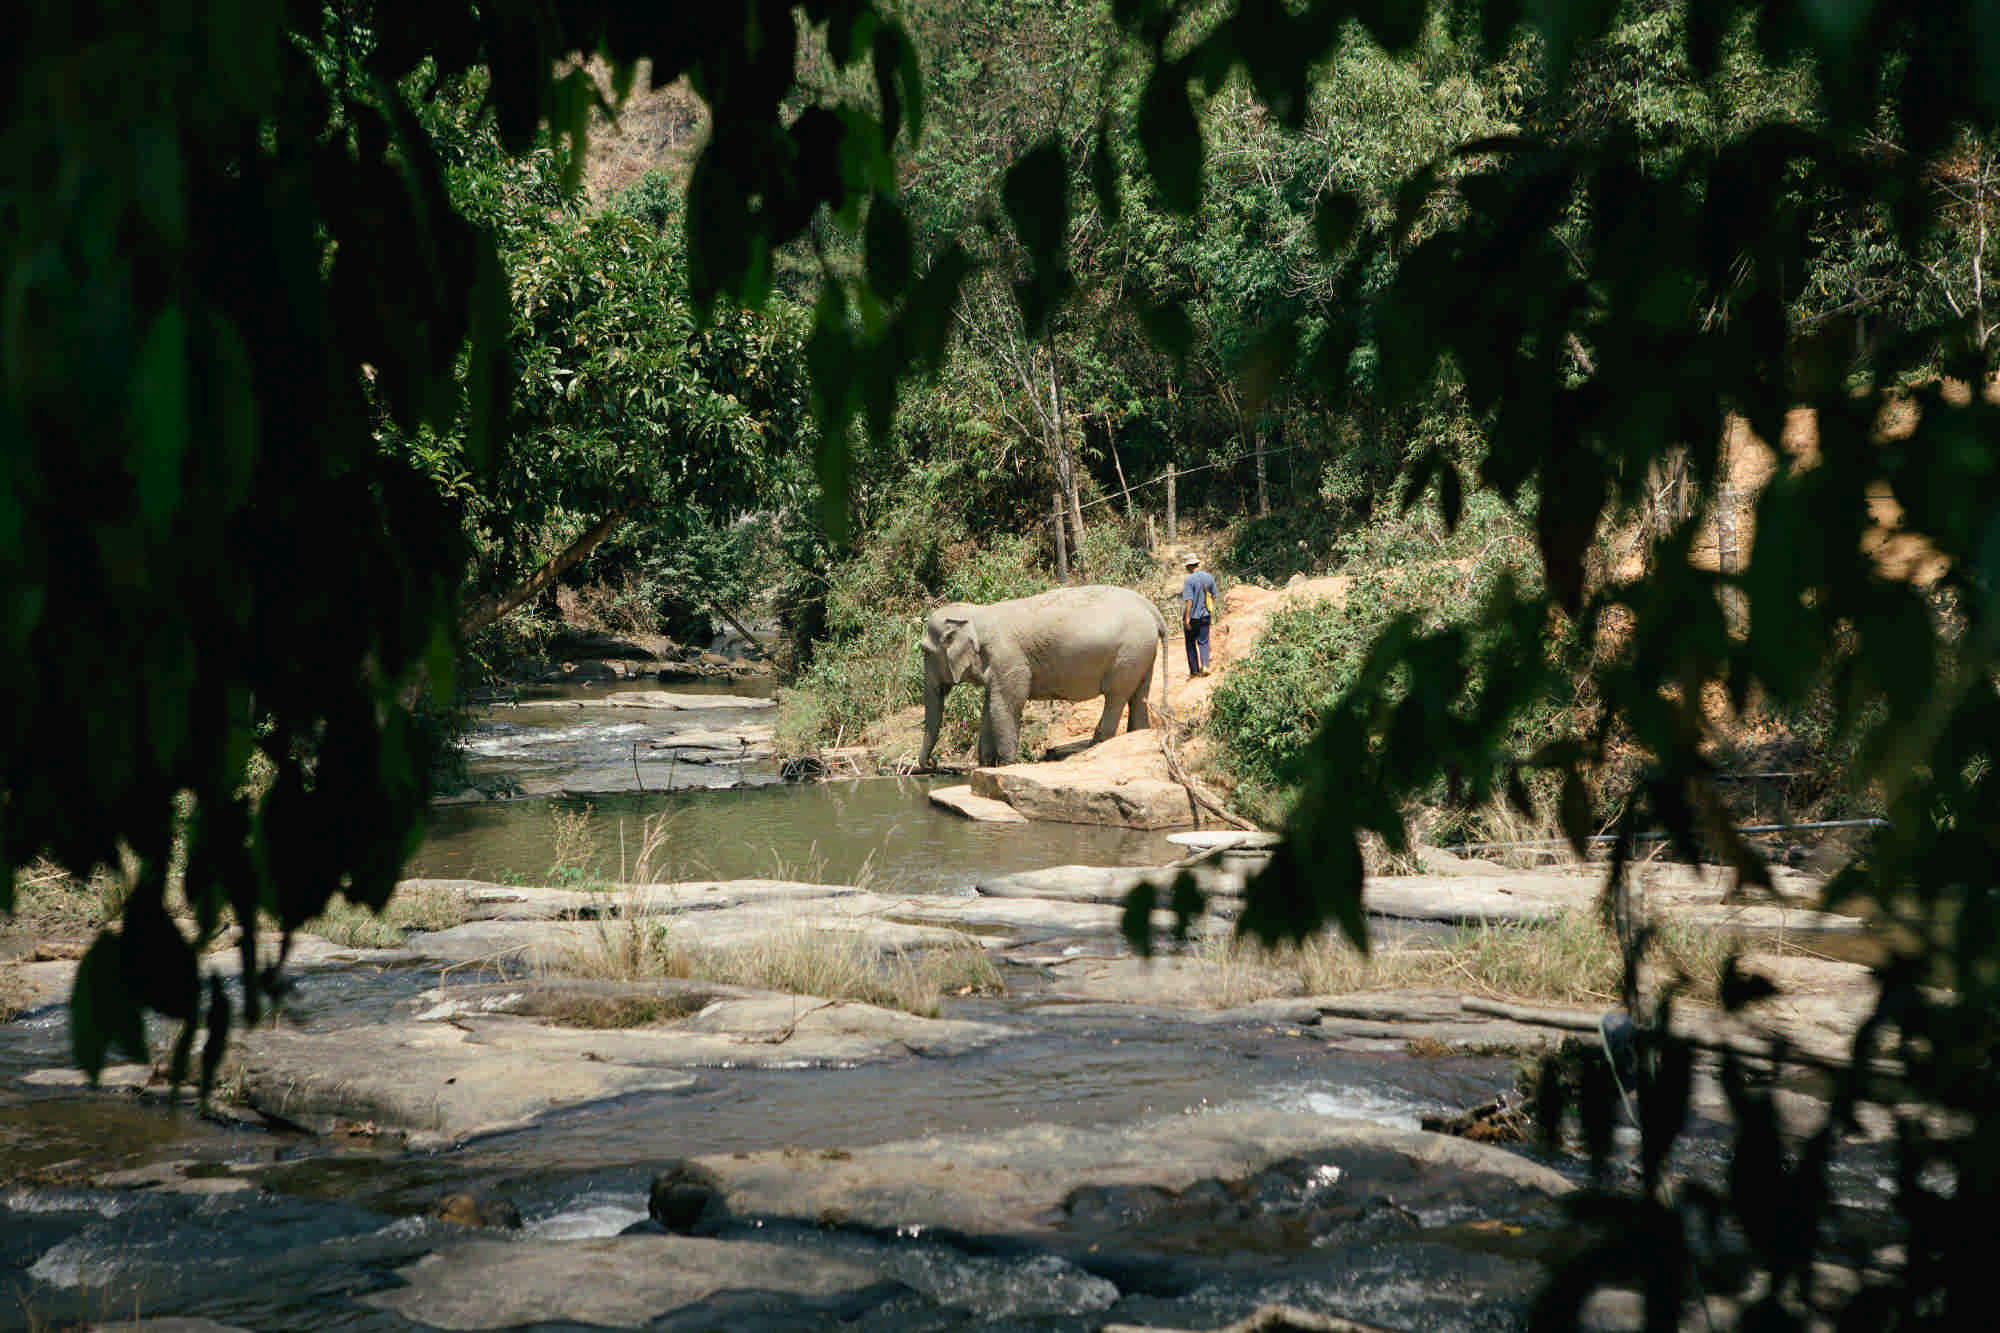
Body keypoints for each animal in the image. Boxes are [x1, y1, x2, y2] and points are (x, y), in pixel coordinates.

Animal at [918, 585, 1168, 770]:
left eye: (925, 651)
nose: (933, 763)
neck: (977, 614)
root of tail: (1151, 607)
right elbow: (990, 706)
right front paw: (986, 766)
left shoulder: (1009, 658)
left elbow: (1006, 706)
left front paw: (1007, 766)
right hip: (1141, 653)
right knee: (1138, 694)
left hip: (1129, 651)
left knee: (1116, 696)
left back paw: (1095, 746)